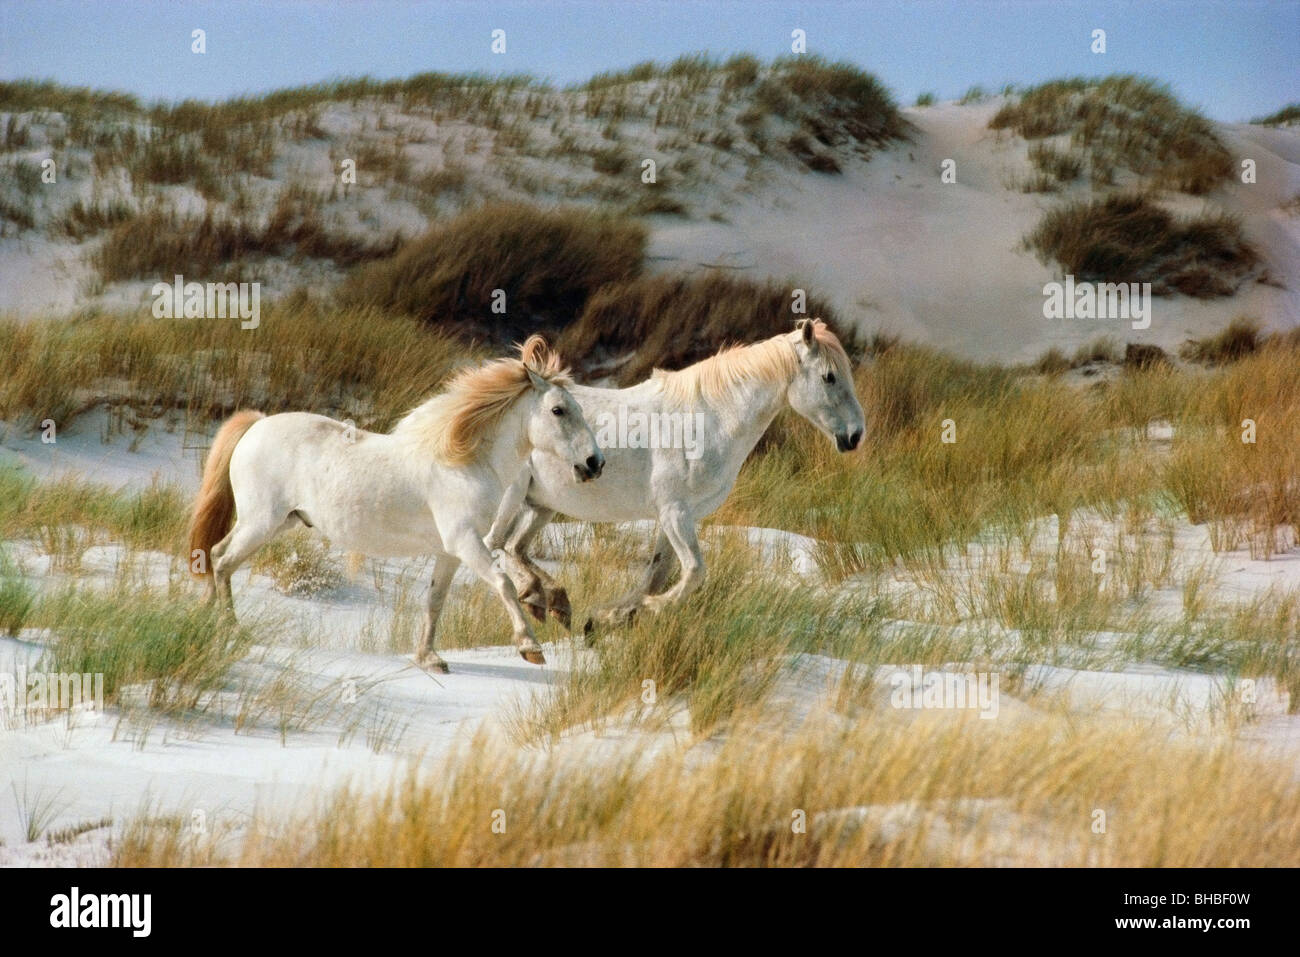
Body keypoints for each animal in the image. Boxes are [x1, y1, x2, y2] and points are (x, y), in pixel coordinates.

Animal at [187, 336, 605, 672]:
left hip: (276, 522)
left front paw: (429, 659)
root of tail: (257, 424)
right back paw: (231, 629)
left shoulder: (450, 552)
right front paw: (530, 647)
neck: (464, 460)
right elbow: (503, 582)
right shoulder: (467, 542)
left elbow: (435, 599)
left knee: (216, 555)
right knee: (222, 562)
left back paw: (203, 617)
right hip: (261, 521)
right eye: (558, 410)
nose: (594, 463)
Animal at [490, 318, 865, 630]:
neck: (707, 421)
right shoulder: (675, 512)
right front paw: (644, 610)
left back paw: (551, 602)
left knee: (514, 548)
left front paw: (609, 619)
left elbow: (657, 574)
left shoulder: (679, 515)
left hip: (540, 505)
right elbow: (693, 572)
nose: (855, 435)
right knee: (495, 546)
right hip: (510, 498)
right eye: (829, 377)